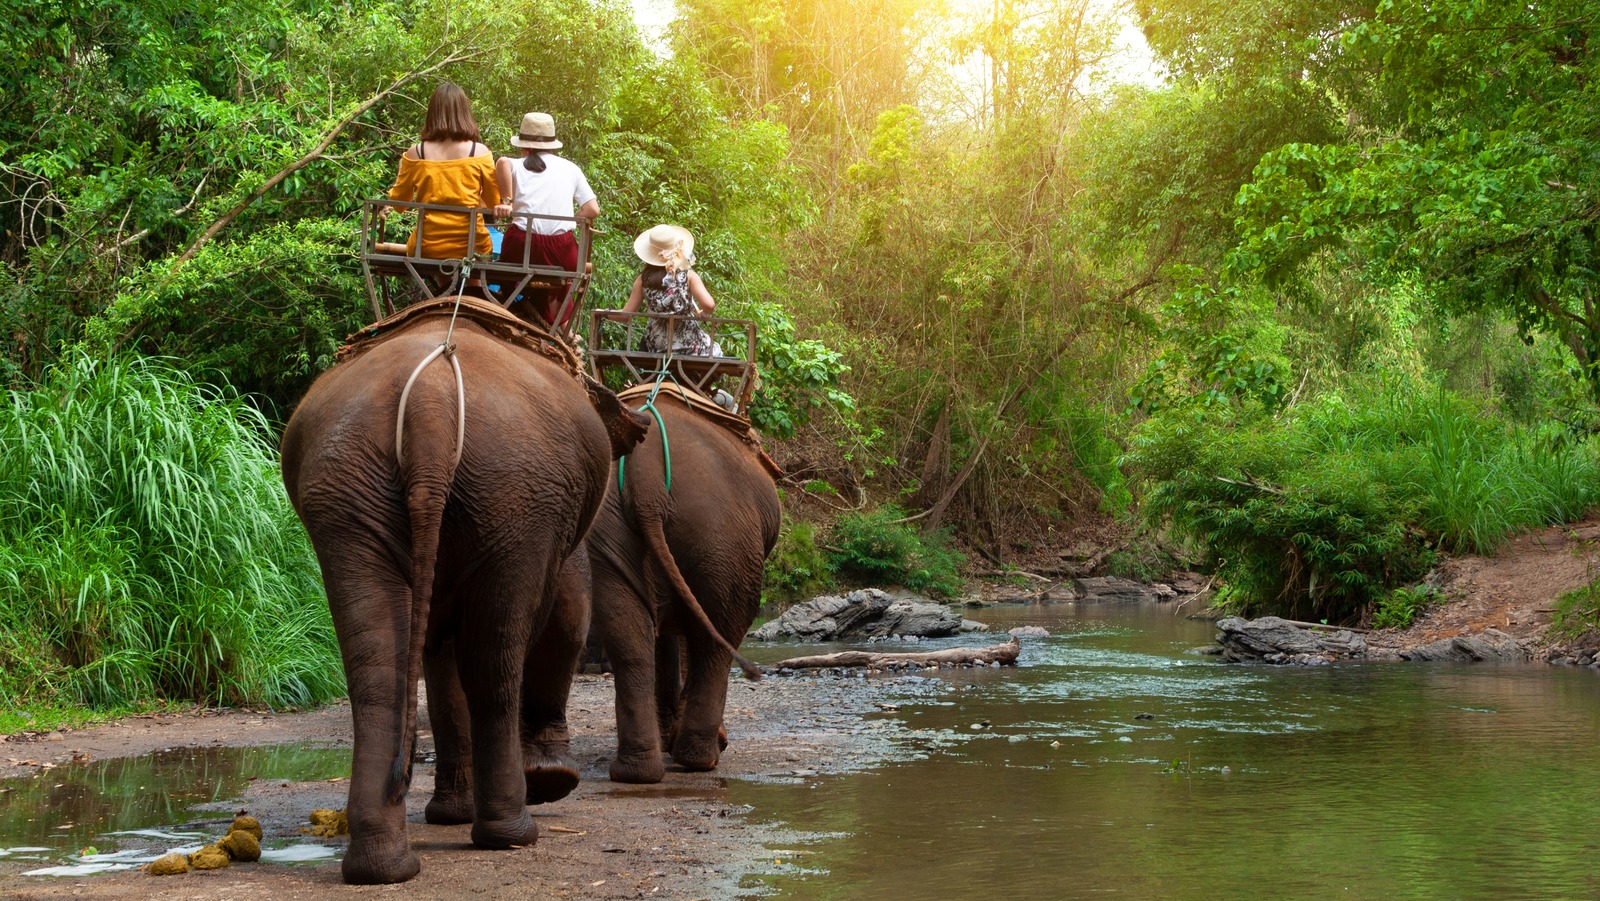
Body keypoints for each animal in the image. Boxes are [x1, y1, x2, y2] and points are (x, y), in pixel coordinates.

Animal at [280, 299, 647, 884]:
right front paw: (547, 782)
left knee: (378, 665)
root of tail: (431, 401)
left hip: (352, 488)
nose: (640, 426)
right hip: (515, 492)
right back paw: (513, 832)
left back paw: (383, 867)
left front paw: (448, 815)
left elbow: (435, 647)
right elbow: (565, 612)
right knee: (493, 660)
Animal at [586, 388, 782, 783]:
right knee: (718, 639)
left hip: (616, 535)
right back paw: (701, 759)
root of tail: (646, 474)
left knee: (628, 638)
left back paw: (635, 772)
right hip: (724, 540)